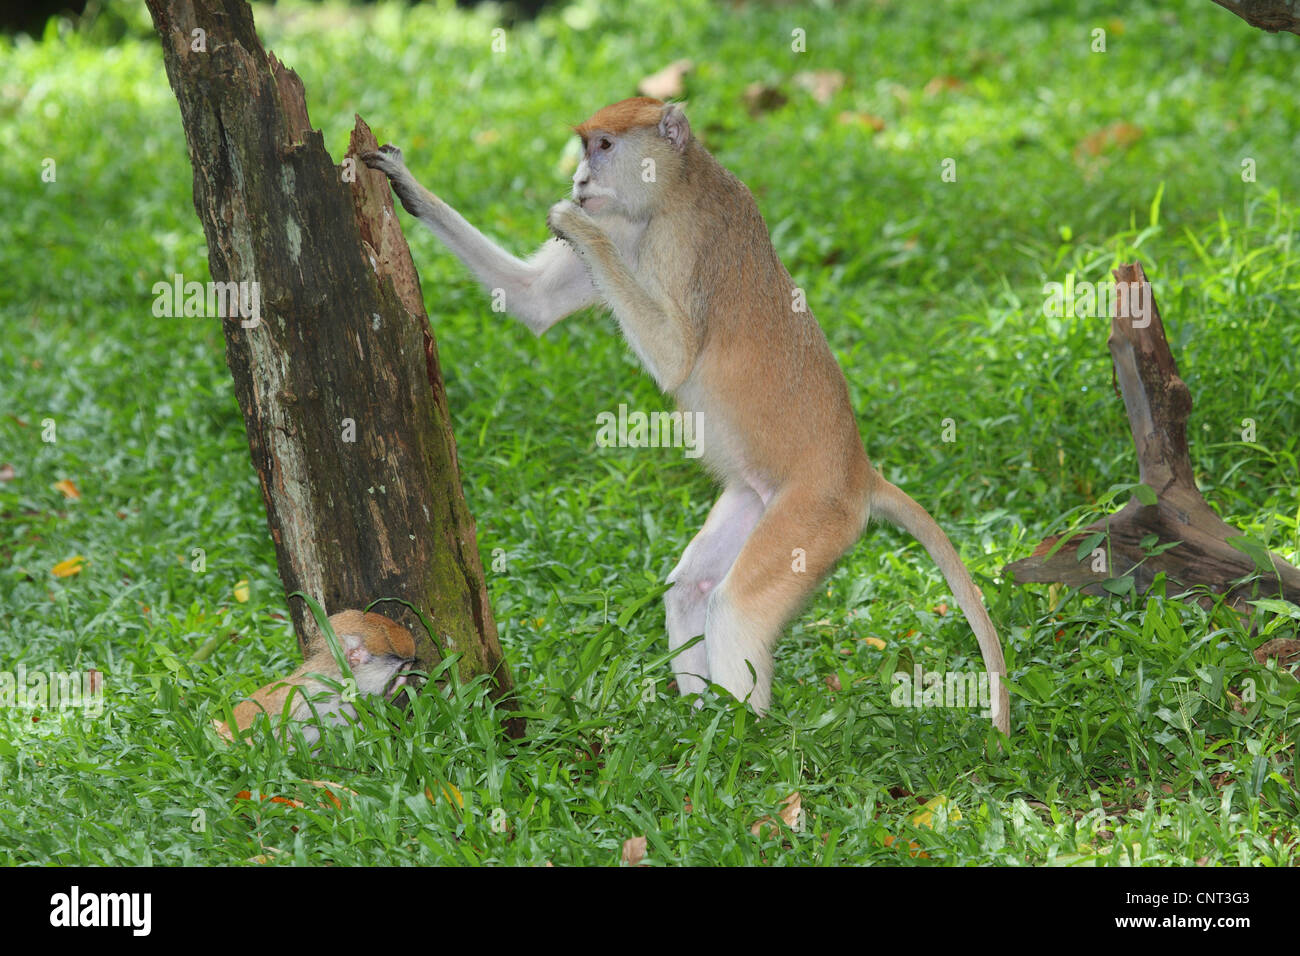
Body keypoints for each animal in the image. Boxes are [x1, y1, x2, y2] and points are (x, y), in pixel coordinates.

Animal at [362, 97, 1010, 734]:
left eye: (603, 146)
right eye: (585, 146)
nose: (580, 181)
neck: (676, 186)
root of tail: (858, 471)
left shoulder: (677, 242)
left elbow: (674, 357)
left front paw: (572, 222)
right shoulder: (628, 225)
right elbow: (533, 301)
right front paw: (403, 181)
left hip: (814, 514)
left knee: (736, 606)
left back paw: (740, 737)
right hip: (759, 499)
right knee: (690, 588)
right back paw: (698, 716)